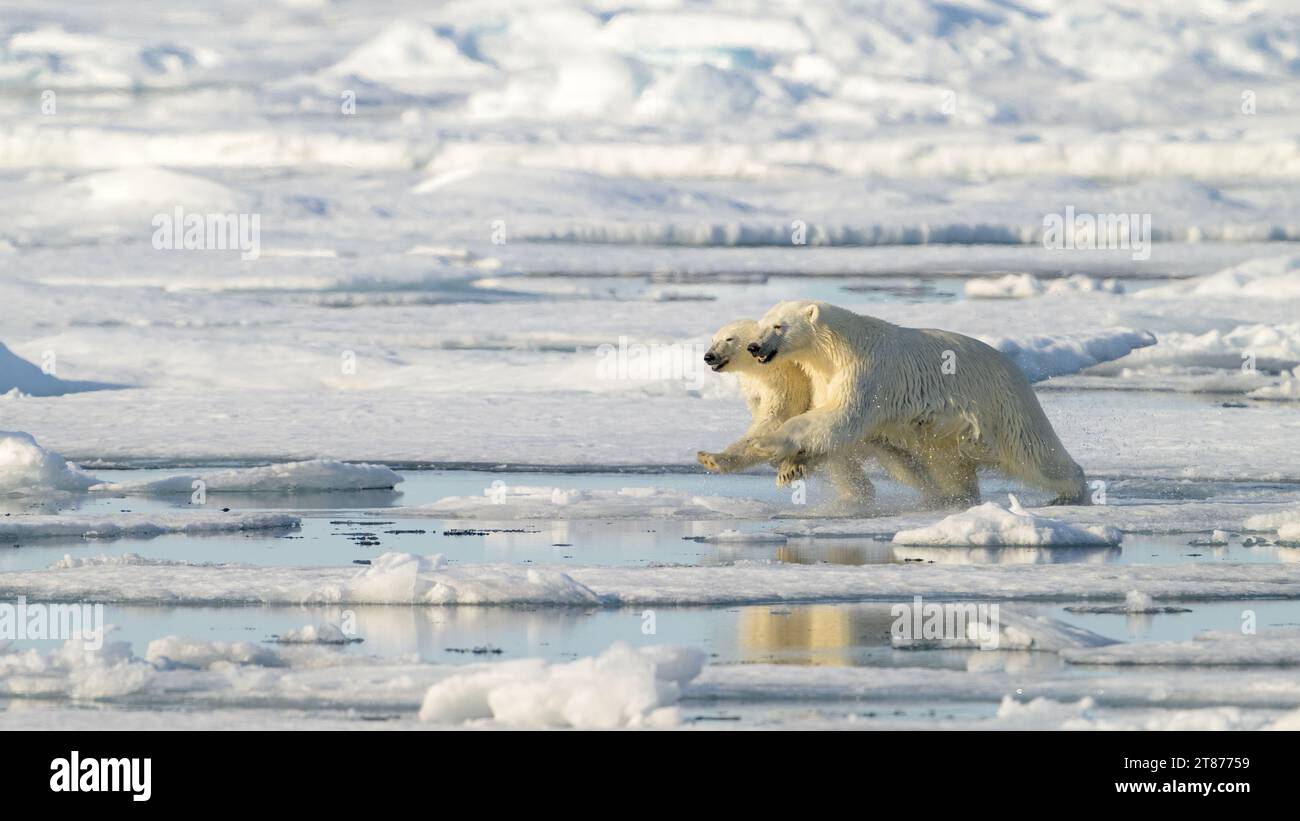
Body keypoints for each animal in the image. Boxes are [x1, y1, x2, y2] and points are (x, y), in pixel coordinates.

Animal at [695, 319, 938, 508]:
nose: (709, 356)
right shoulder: (757, 389)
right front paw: (710, 458)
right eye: (713, 339)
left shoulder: (788, 379)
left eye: (729, 339)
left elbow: (777, 417)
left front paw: (714, 458)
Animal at [744, 301, 1088, 506]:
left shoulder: (865, 372)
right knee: (948, 465)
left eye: (778, 326)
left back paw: (1073, 491)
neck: (836, 346)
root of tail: (1014, 368)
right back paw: (955, 495)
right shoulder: (824, 376)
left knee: (1034, 451)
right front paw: (790, 469)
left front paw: (765, 443)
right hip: (950, 433)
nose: (754, 346)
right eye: (761, 324)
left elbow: (839, 418)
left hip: (1002, 405)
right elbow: (833, 427)